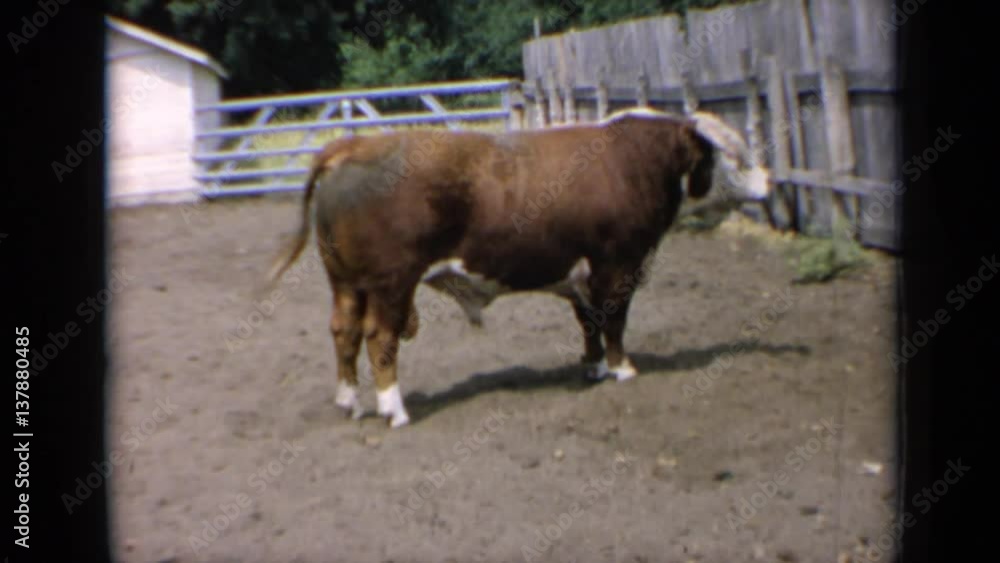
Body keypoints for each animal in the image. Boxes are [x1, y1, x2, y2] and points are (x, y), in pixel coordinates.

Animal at [265, 106, 771, 428]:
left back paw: (348, 401)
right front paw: (622, 369)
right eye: (734, 155)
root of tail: (353, 146)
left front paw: (593, 368)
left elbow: (589, 324)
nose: (770, 181)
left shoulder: (580, 275)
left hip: (345, 283)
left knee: (345, 332)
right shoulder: (617, 266)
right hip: (392, 283)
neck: (632, 163)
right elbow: (614, 322)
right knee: (379, 337)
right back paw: (395, 409)